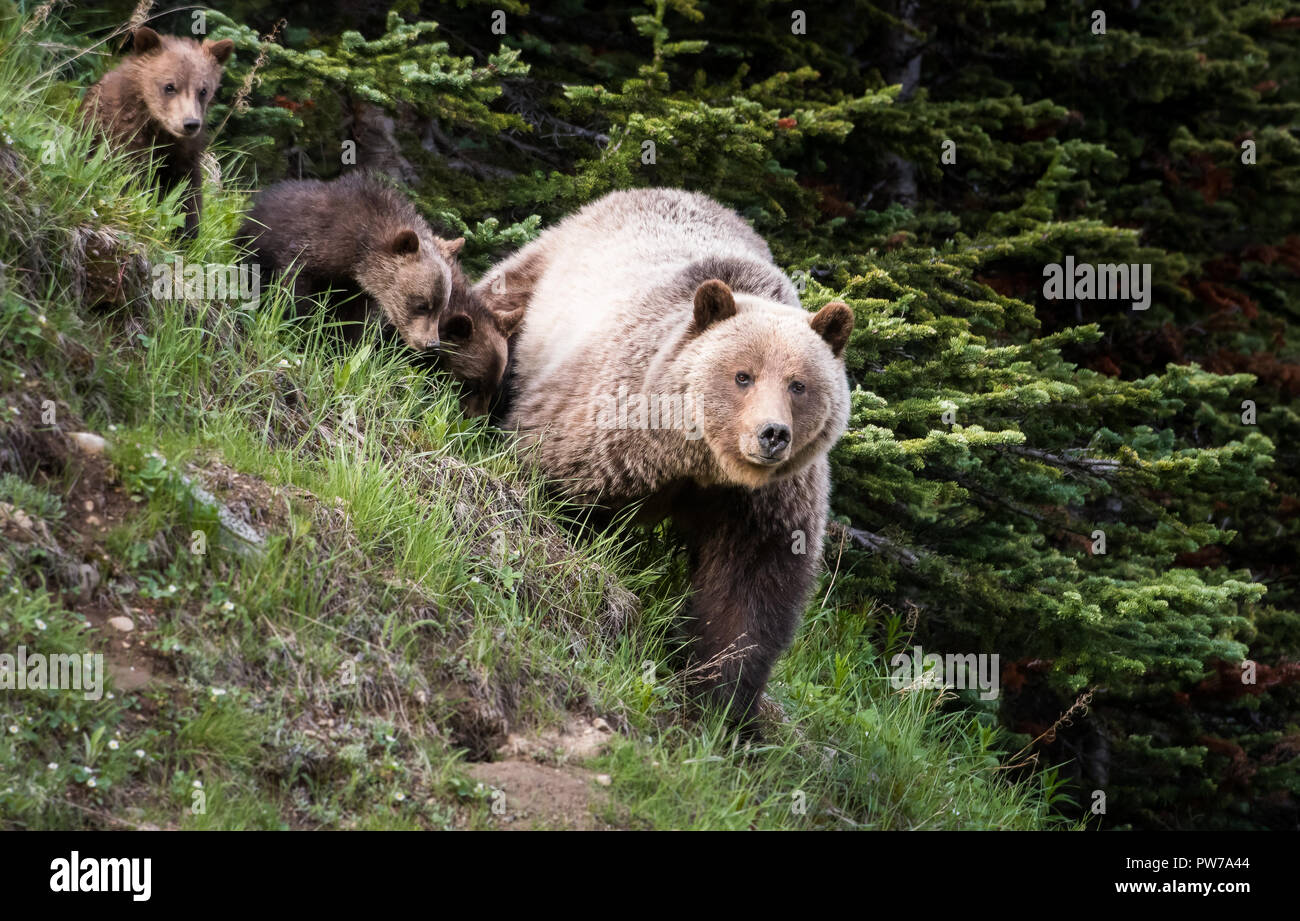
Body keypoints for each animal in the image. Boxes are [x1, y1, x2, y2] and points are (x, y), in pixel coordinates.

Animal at [80, 27, 234, 237]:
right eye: (169, 86)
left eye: (203, 90)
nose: (190, 123)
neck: (158, 129)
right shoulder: (123, 137)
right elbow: (131, 179)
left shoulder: (184, 155)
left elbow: (187, 195)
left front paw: (186, 232)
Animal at [238, 172, 464, 354]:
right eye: (422, 305)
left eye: (442, 307)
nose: (432, 344)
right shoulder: (310, 246)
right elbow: (294, 292)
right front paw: (298, 328)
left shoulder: (359, 290)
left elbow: (355, 322)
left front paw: (344, 348)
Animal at [498, 188, 855, 726]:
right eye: (743, 375)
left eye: (799, 384)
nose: (772, 434)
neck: (698, 465)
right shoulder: (610, 422)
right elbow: (554, 479)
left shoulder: (767, 503)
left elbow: (748, 594)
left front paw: (720, 702)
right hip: (540, 279)